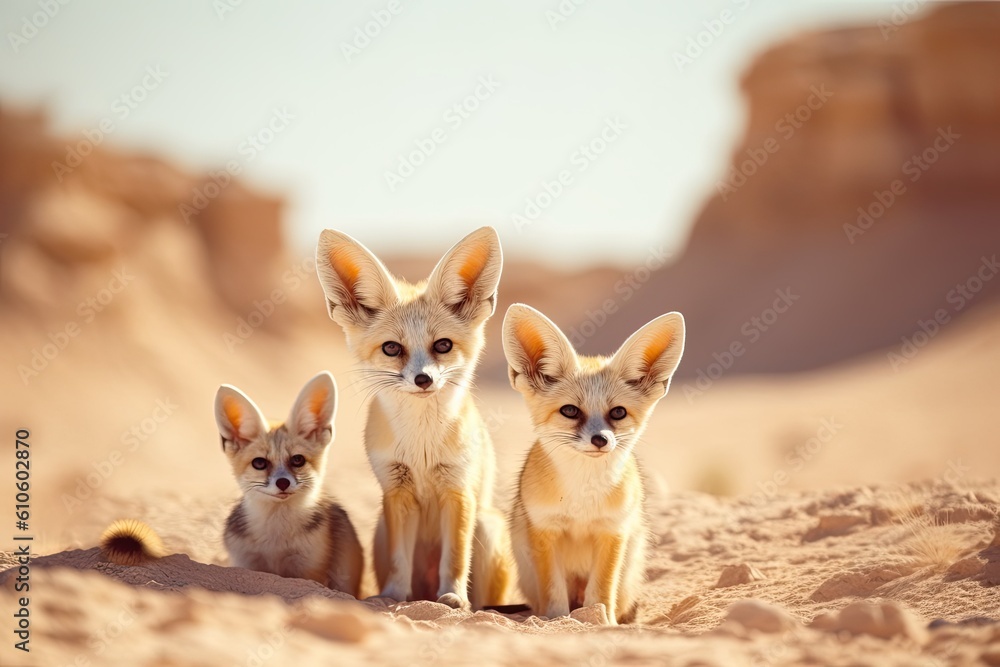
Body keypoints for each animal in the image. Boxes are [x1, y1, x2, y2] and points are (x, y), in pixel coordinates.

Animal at [215, 371, 364, 598]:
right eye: (259, 463)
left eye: (297, 460)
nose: (283, 482)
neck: (276, 540)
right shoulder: (248, 563)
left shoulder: (309, 567)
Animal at [314, 226, 513, 610]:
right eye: (392, 348)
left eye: (443, 345)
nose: (423, 379)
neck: (422, 444)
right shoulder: (396, 490)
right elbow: (398, 562)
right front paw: (392, 597)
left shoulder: (457, 489)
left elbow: (455, 558)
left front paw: (453, 597)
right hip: (381, 528)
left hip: (486, 524)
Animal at [501, 303, 685, 624]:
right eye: (570, 411)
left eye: (618, 412)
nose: (600, 439)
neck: (582, 497)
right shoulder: (544, 530)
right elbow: (553, 592)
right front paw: (557, 620)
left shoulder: (612, 530)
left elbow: (600, 591)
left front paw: (600, 621)